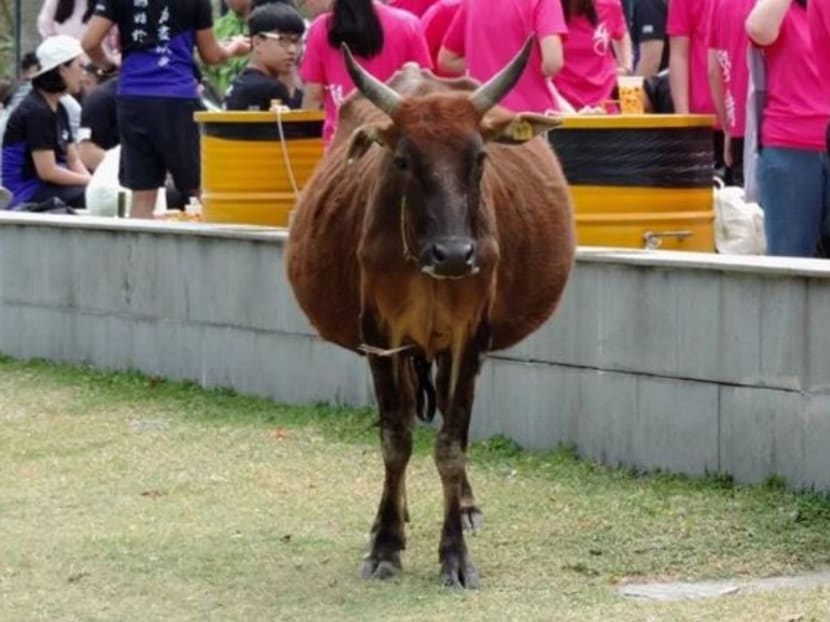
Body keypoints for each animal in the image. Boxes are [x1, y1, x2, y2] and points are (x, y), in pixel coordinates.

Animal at [285, 40, 575, 589]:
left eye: (480, 156)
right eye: (402, 158)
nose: (455, 255)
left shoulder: (471, 336)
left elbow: (451, 444)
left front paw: (455, 553)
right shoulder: (380, 335)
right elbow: (395, 439)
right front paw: (385, 543)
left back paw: (463, 504)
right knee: (399, 419)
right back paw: (394, 514)